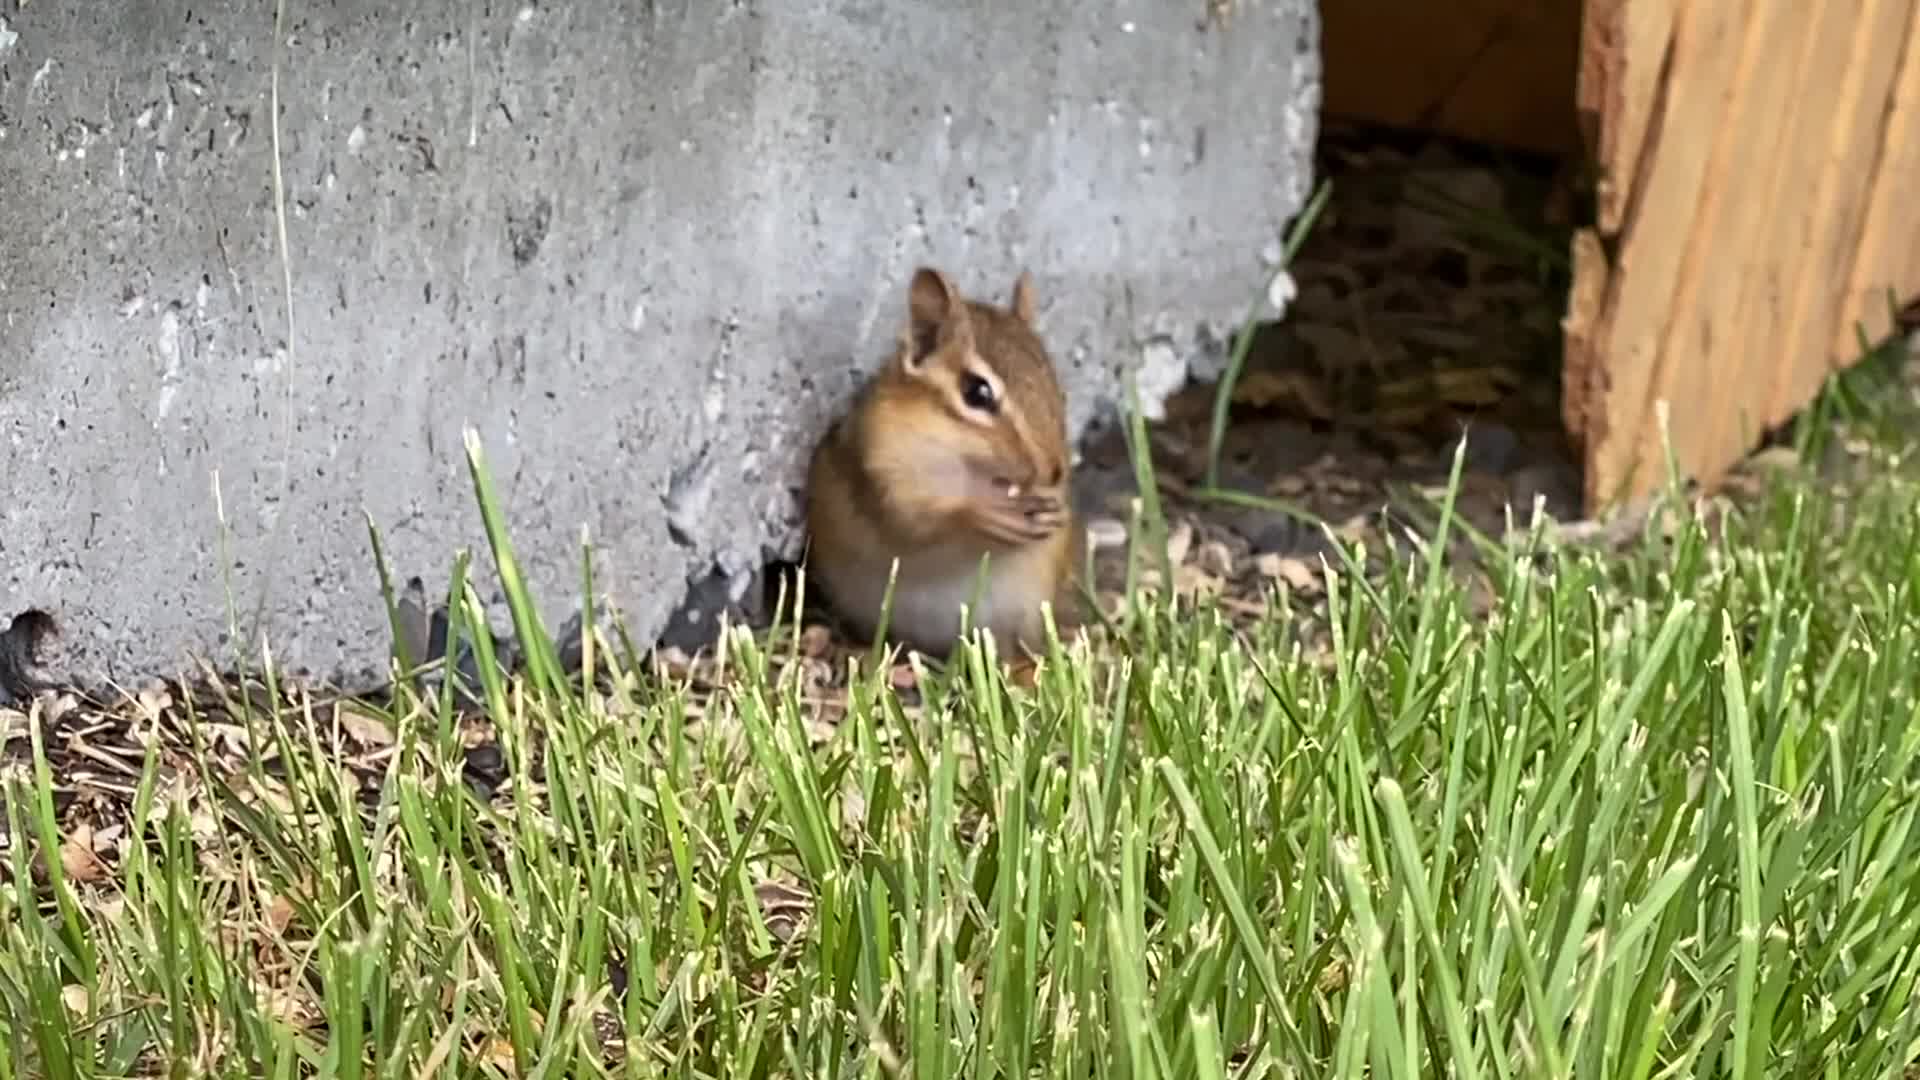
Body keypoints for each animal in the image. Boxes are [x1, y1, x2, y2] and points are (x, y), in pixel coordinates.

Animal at [804, 266, 1084, 658]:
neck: (969, 466)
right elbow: (914, 516)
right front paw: (985, 512)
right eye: (977, 393)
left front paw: (1054, 510)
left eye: (1057, 388)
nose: (1054, 469)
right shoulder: (882, 468)